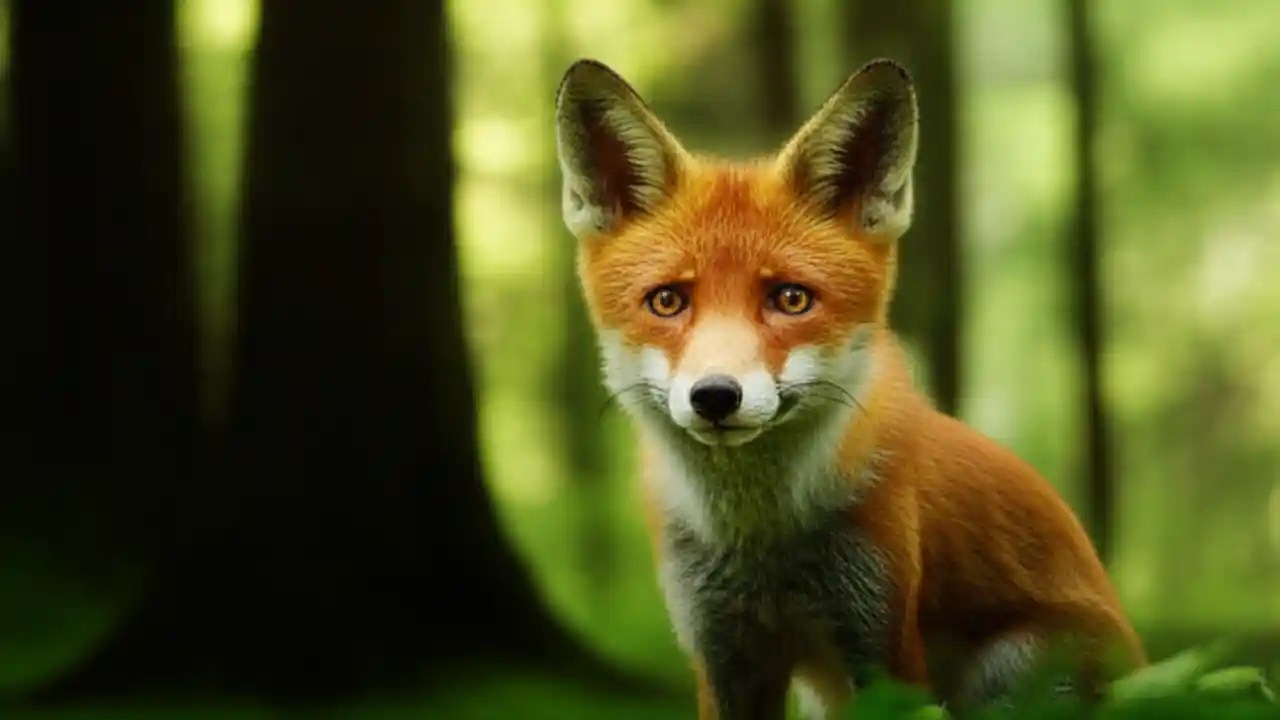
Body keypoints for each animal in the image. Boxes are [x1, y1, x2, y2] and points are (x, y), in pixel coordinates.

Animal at [553, 57, 1146, 719]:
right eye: (667, 301)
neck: (762, 541)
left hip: (1011, 672)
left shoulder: (881, 641)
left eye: (790, 299)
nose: (715, 396)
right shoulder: (722, 654)